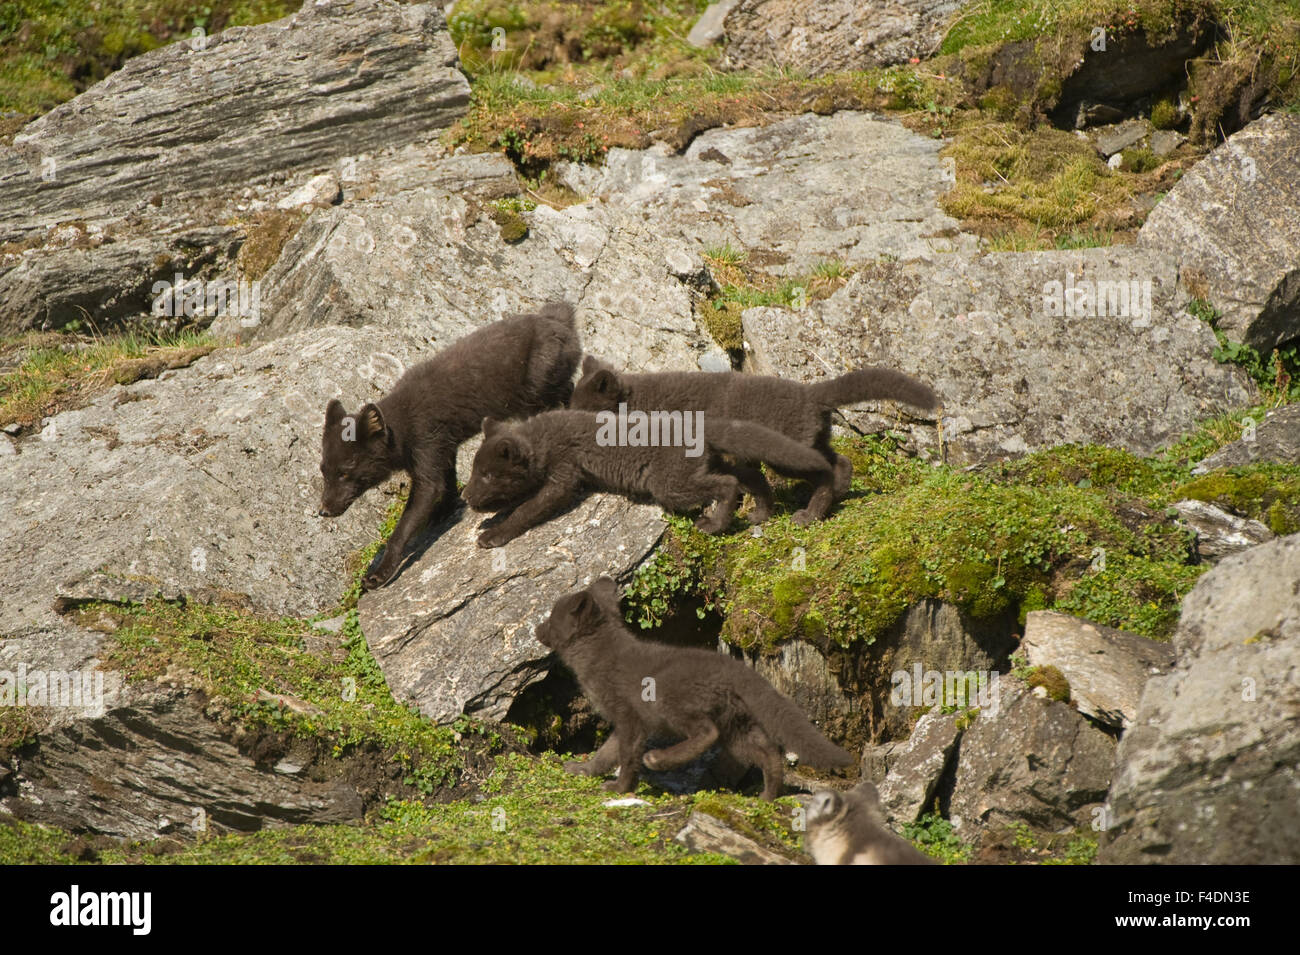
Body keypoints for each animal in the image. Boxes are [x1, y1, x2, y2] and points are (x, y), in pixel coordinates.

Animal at [317, 304, 580, 589]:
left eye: (345, 472)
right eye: (323, 470)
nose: (323, 511)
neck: (403, 426)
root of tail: (560, 319)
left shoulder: (427, 444)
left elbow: (410, 518)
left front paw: (378, 575)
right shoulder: (443, 446)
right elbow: (448, 479)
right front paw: (445, 510)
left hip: (535, 390)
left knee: (567, 390)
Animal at [536, 577, 854, 800]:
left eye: (551, 617)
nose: (536, 630)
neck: (597, 654)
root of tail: (736, 668)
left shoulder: (628, 717)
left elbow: (627, 758)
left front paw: (620, 788)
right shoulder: (624, 723)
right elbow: (605, 754)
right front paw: (583, 770)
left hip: (673, 703)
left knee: (706, 733)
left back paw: (658, 759)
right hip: (736, 725)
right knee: (768, 754)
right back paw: (767, 796)